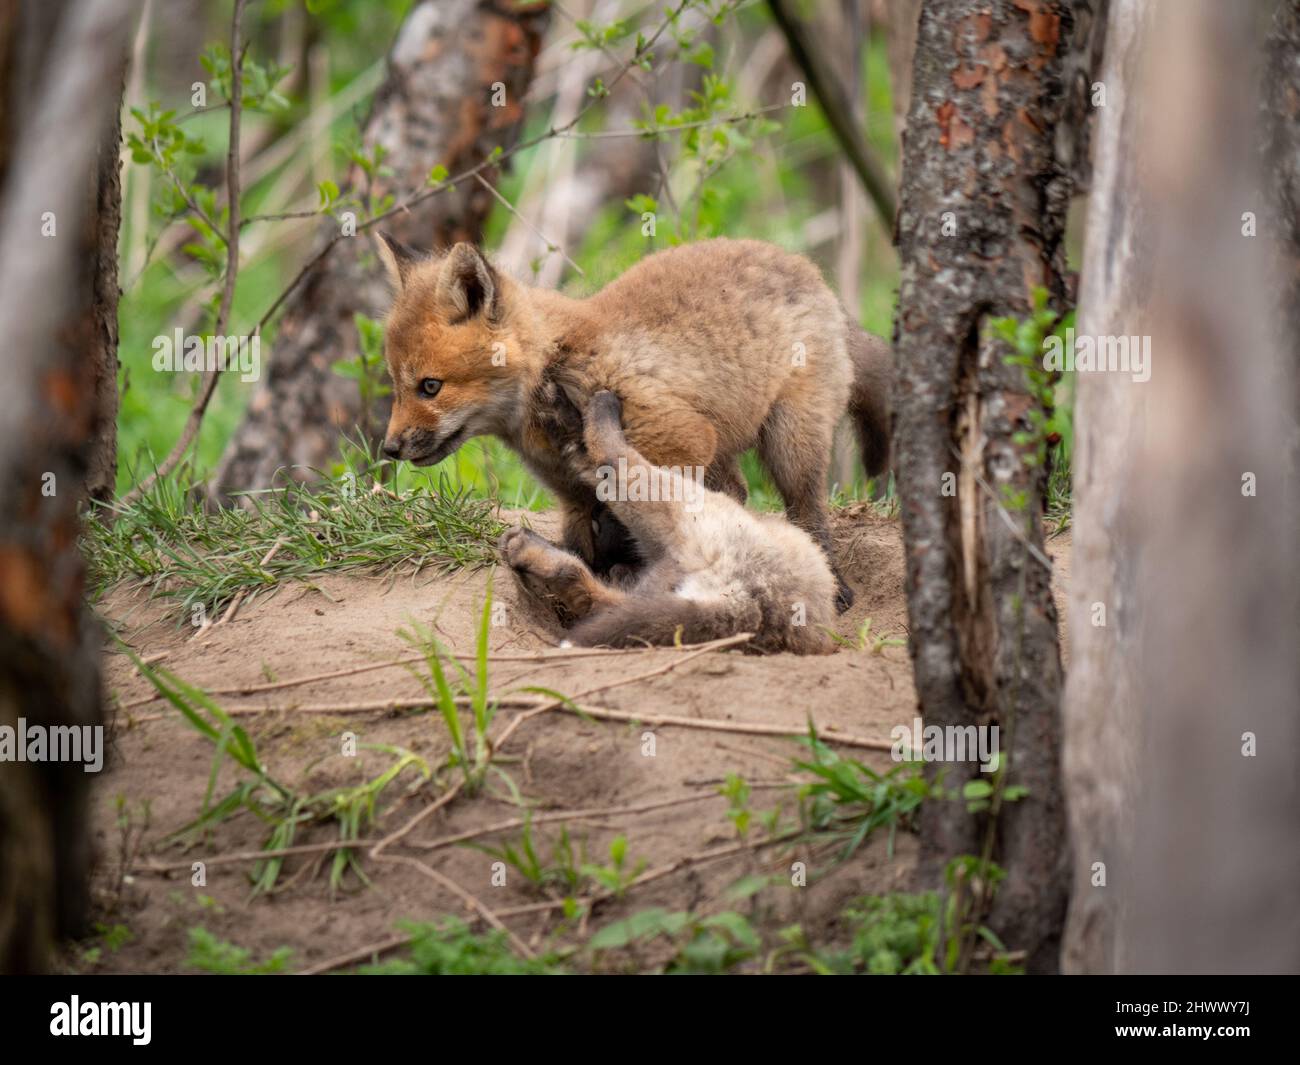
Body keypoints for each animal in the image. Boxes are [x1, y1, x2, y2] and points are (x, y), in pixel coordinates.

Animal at [375, 235, 892, 610]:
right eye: (397, 386)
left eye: (430, 386)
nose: (389, 449)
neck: (555, 369)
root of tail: (806, 269)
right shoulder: (573, 499)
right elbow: (582, 546)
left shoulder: (679, 441)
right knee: (739, 493)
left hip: (789, 443)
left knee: (805, 511)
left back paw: (834, 584)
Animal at [500, 387, 837, 654]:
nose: (598, 518)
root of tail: (753, 608)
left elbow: (587, 460)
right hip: (664, 581)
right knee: (603, 603)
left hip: (674, 500)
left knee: (615, 458)